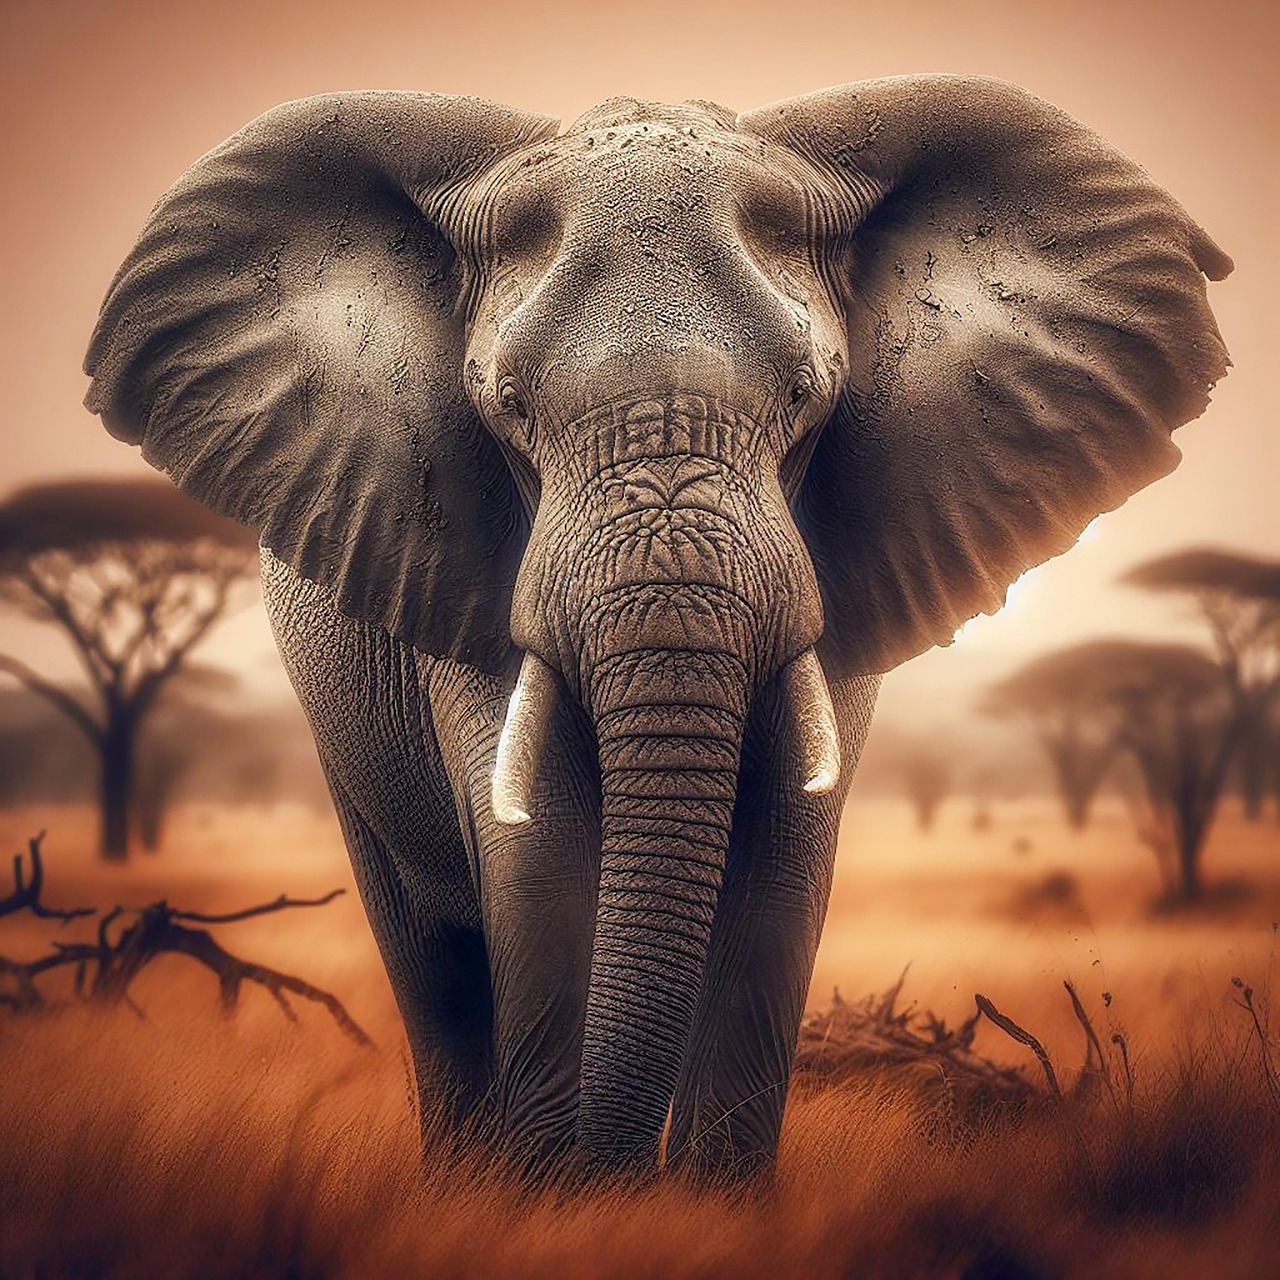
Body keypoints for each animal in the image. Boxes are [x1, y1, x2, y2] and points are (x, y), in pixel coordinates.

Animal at [83, 76, 1230, 1178]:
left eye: (808, 399)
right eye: (508, 406)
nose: (616, 1177)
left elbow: (780, 871)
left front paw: (707, 1208)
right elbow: (540, 856)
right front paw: (556, 1202)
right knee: (430, 961)